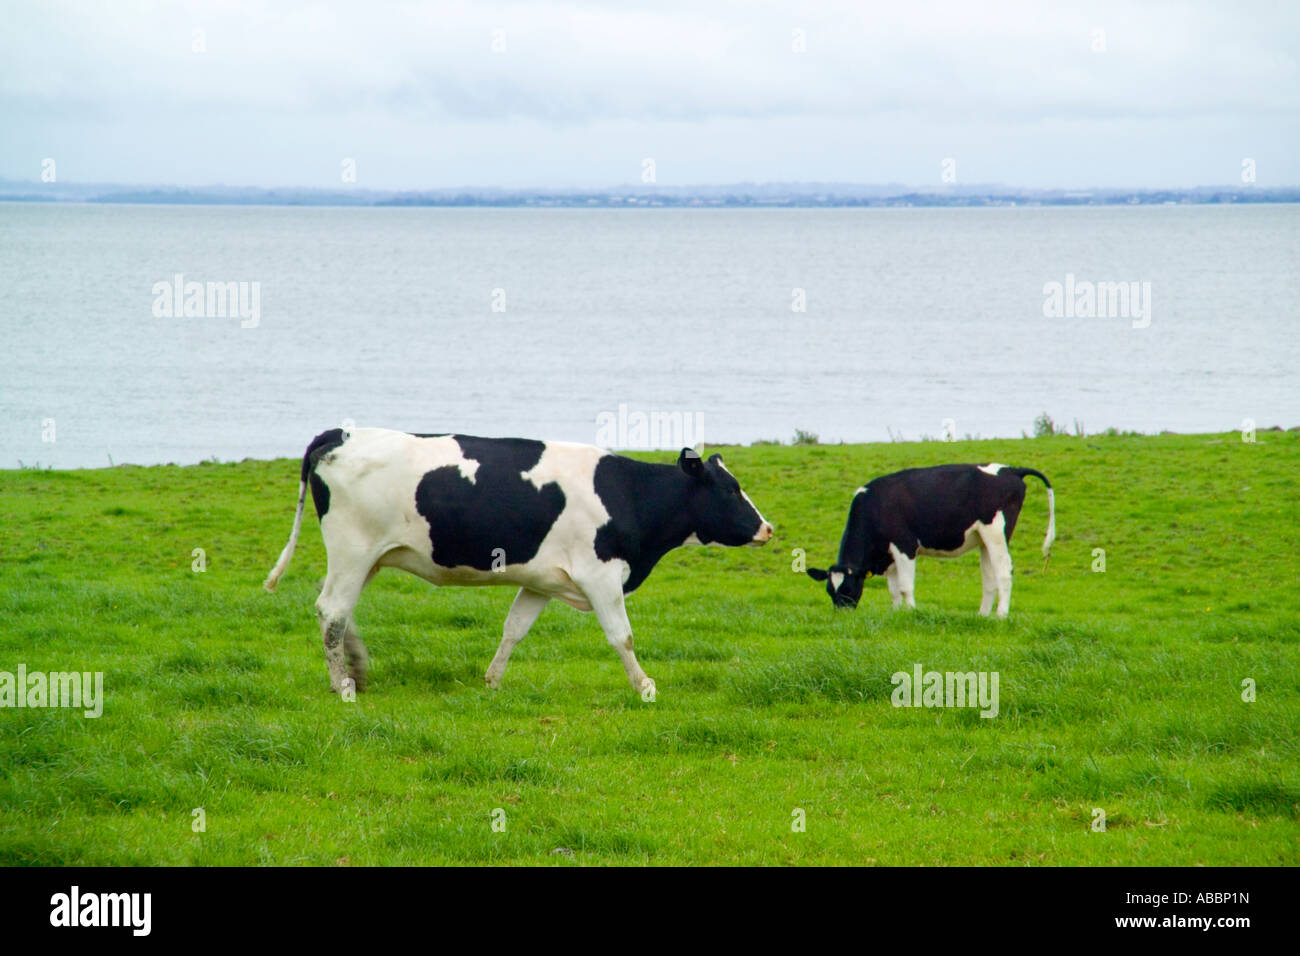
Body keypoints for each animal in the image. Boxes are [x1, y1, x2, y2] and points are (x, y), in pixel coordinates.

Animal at [264, 427, 773, 698]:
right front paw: (644, 686)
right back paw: (343, 686)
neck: (627, 493)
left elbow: (514, 629)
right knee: (332, 610)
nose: (767, 528)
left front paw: (492, 680)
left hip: (366, 558)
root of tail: (341, 433)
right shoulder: (601, 574)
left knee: (339, 611)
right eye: (731, 490)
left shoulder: (541, 582)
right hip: (353, 550)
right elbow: (622, 636)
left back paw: (357, 670)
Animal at [806, 464, 1054, 617]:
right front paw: (897, 613)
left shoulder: (904, 545)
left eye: (848, 589)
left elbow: (905, 587)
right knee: (989, 577)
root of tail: (1011, 470)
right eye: (830, 591)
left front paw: (910, 613)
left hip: (996, 533)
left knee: (1004, 572)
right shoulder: (889, 555)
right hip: (984, 539)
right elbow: (894, 589)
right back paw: (982, 615)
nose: (842, 616)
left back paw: (1001, 615)